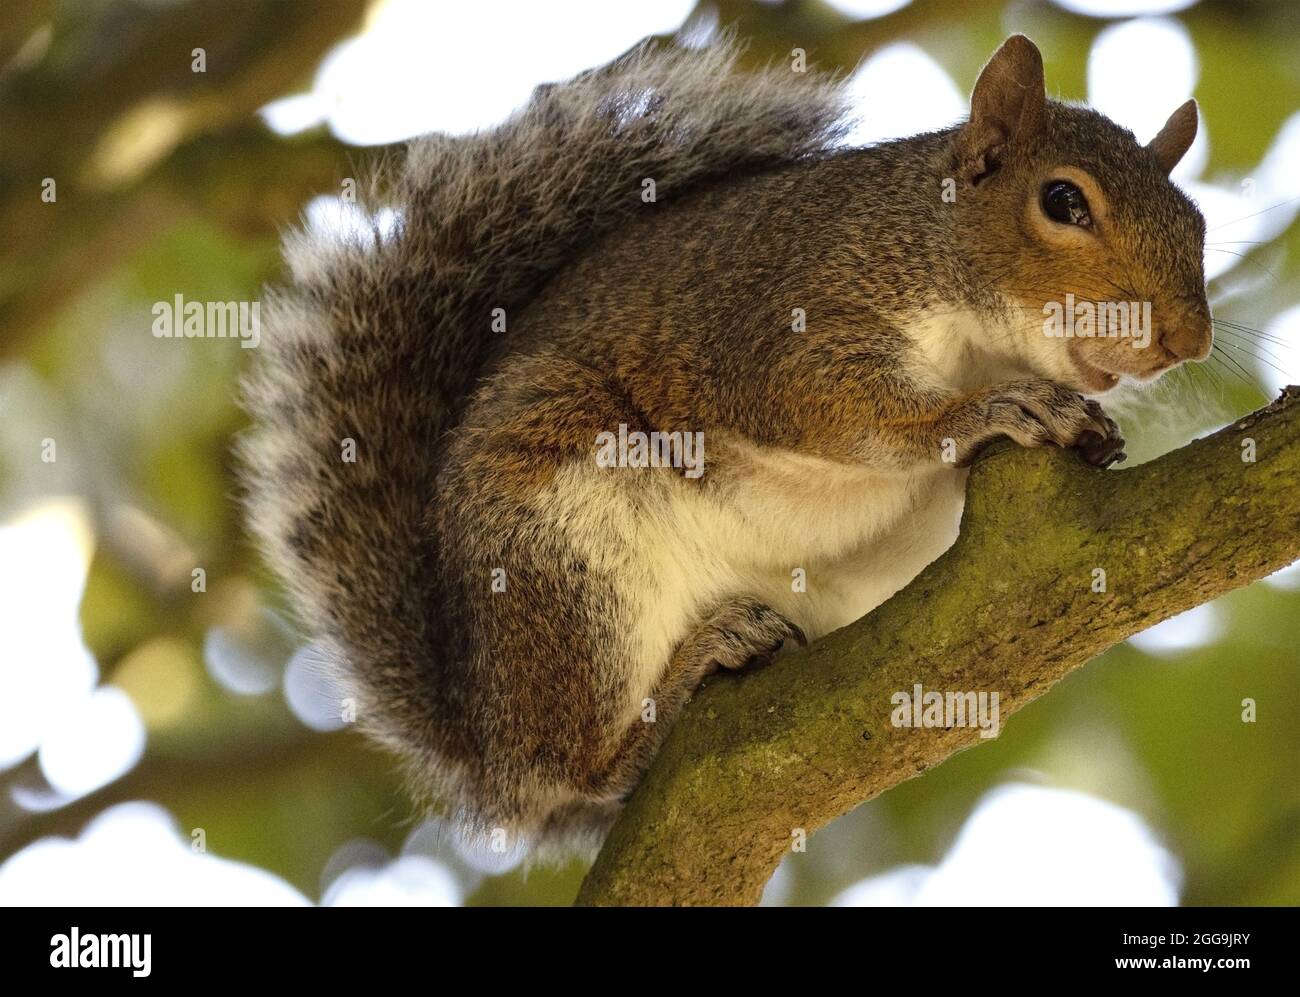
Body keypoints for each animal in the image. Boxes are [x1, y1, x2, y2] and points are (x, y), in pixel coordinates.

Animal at [239, 34, 1212, 858]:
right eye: (1062, 201)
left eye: (1199, 224)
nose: (1187, 340)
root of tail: (483, 733)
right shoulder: (785, 318)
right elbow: (841, 407)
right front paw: (984, 411)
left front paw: (1086, 424)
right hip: (565, 539)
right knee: (577, 768)